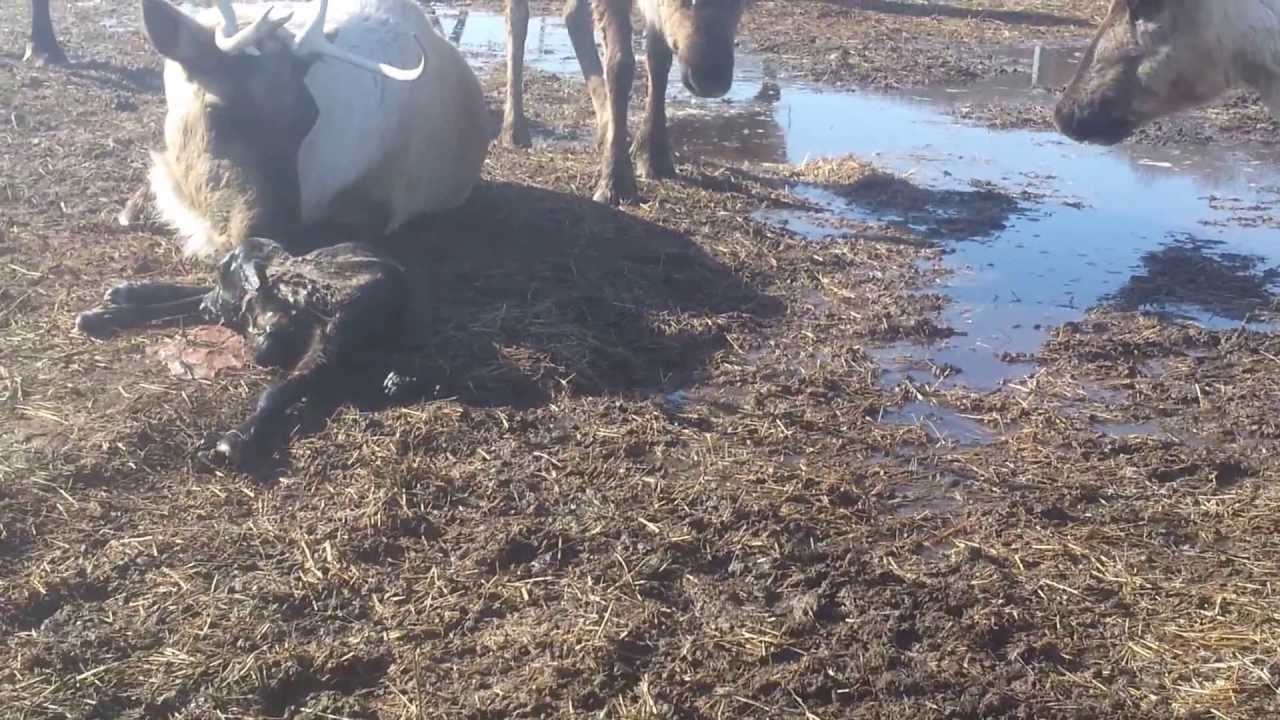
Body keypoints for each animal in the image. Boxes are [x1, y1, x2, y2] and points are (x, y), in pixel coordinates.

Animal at [501, 0, 754, 205]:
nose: (710, 79)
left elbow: (658, 58)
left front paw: (653, 155)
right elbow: (619, 64)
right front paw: (615, 182)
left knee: (572, 13)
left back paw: (606, 125)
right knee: (517, 17)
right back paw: (514, 128)